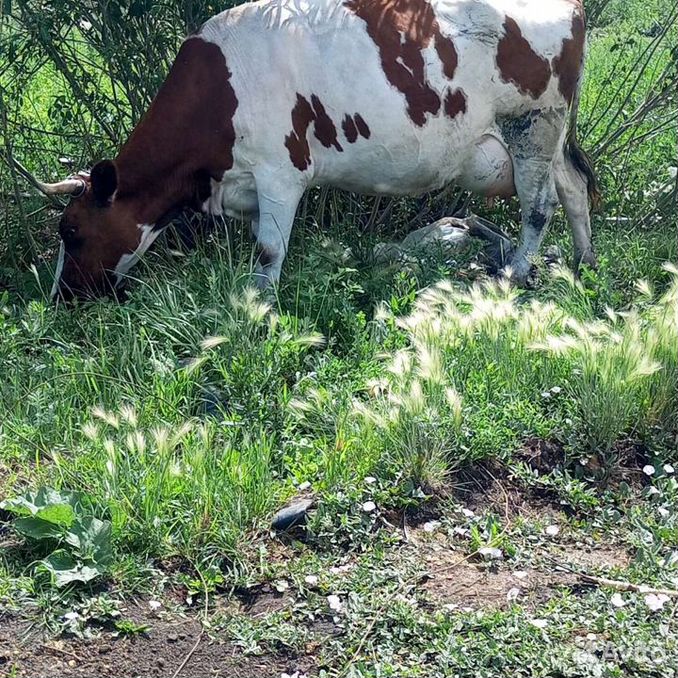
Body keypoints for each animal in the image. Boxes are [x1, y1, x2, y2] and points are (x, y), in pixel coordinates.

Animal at [37, 0, 600, 300]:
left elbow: (269, 250)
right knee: (573, 190)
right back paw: (584, 262)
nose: (61, 297)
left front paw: (259, 310)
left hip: (533, 125)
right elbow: (263, 246)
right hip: (548, 138)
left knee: (539, 205)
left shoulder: (280, 172)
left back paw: (517, 274)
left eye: (71, 231)